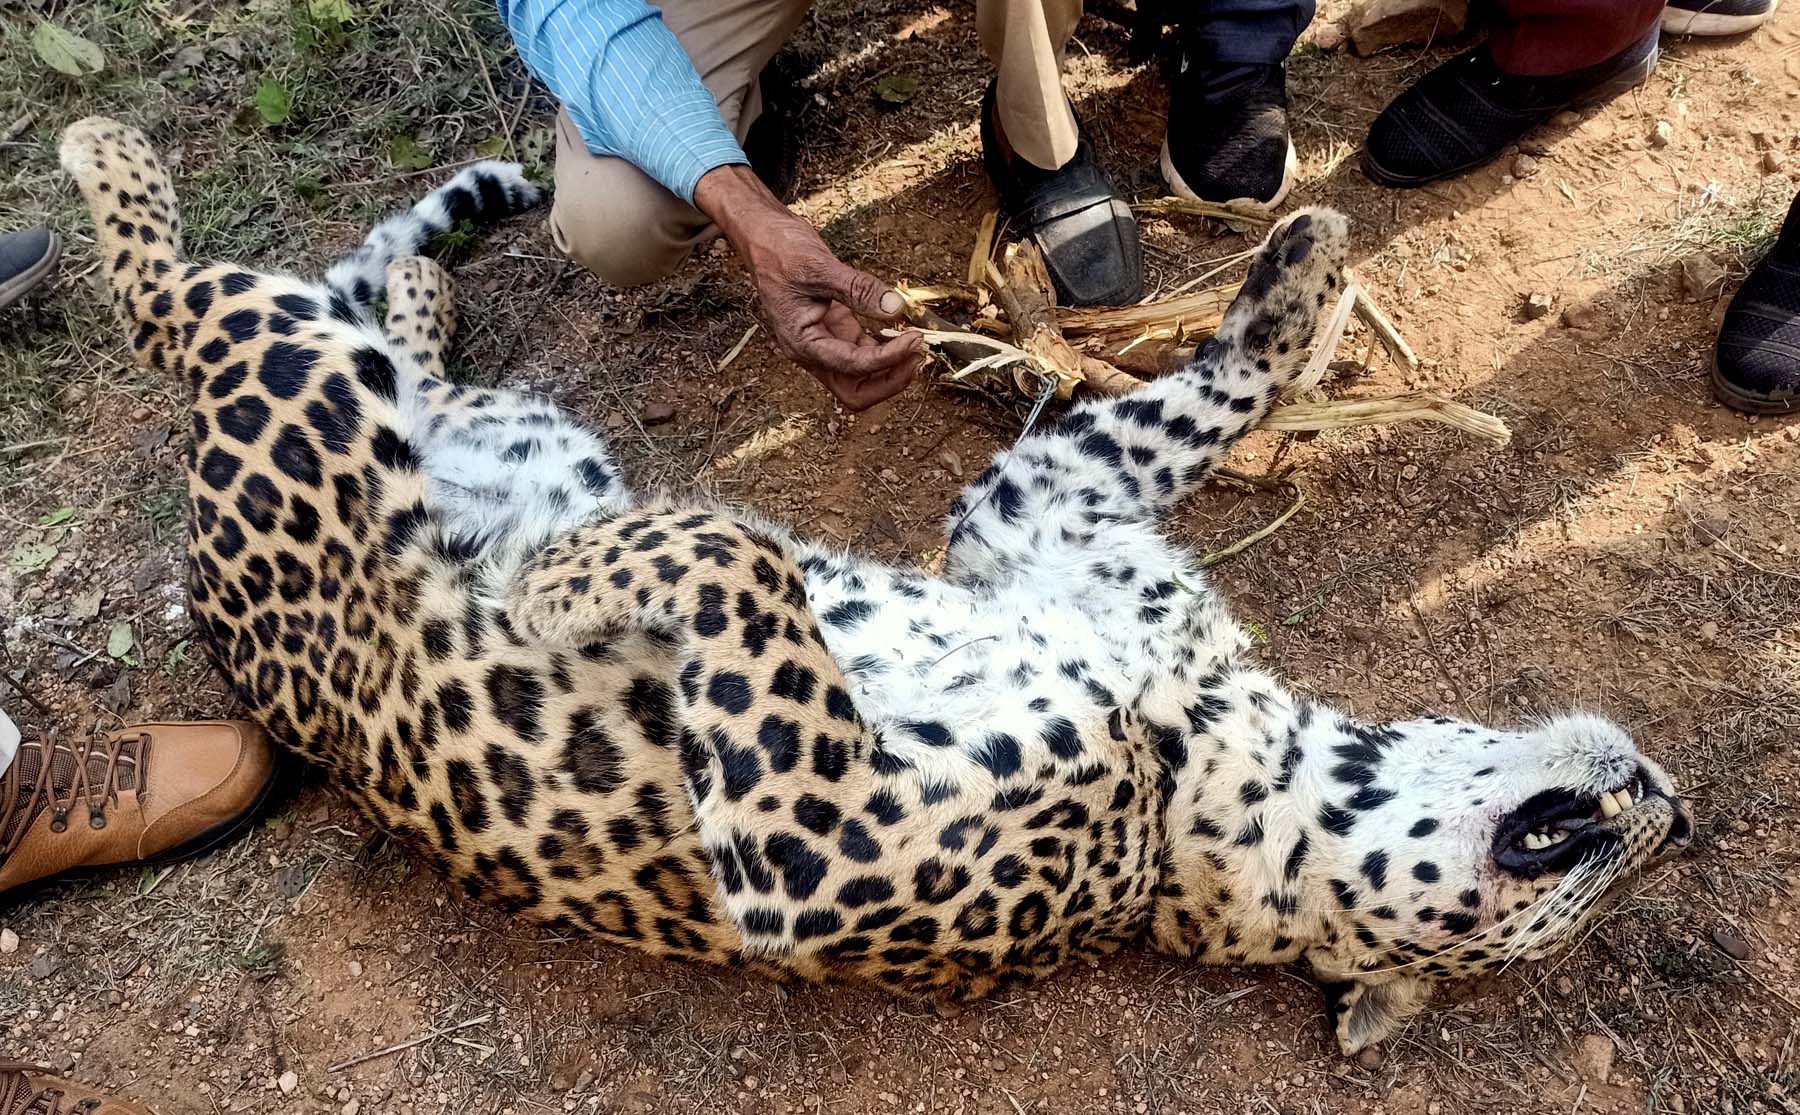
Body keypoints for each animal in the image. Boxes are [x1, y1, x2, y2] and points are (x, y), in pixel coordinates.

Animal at [61, 115, 1692, 1056]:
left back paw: (104, 151)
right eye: (1611, 867)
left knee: (171, 307)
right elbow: (1186, 402)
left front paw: (574, 582)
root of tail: (219, 614)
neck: (1234, 756)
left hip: (300, 408)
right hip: (449, 411)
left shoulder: (815, 850)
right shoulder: (1039, 510)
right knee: (314, 311)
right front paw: (1301, 274)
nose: (1672, 807)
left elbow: (743, 568)